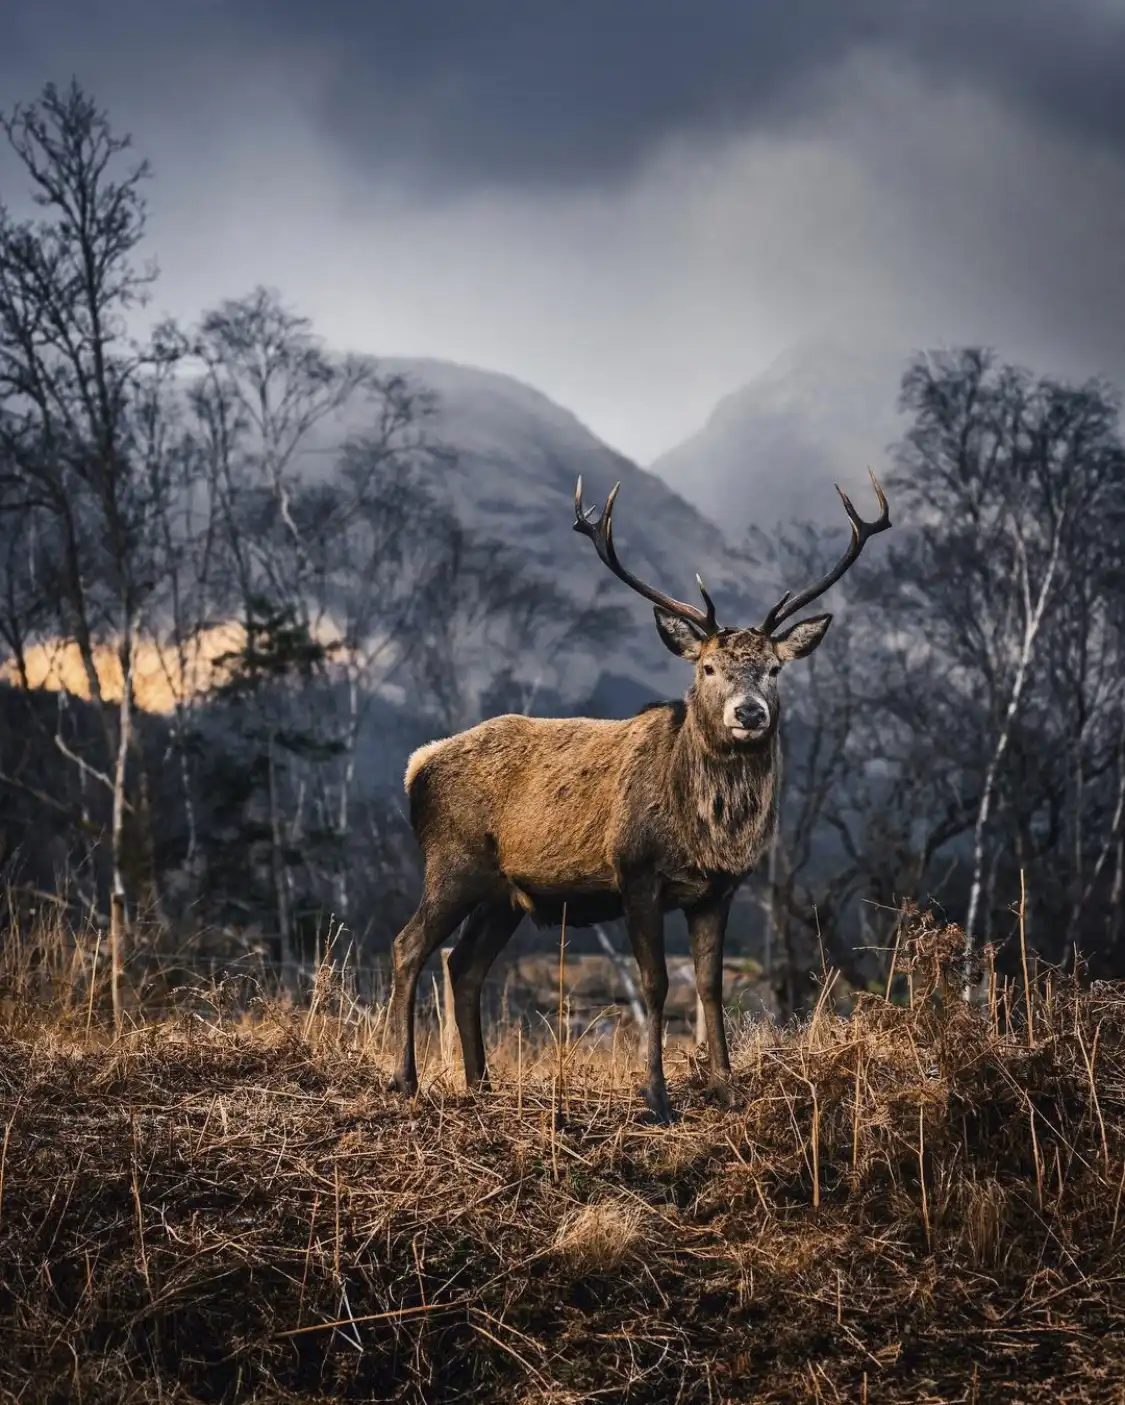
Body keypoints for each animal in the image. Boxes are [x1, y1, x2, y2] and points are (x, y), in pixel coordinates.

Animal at [386, 471, 890, 1121]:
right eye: (707, 667)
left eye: (775, 669)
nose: (749, 712)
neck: (707, 834)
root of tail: (416, 767)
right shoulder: (636, 873)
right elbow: (655, 984)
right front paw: (657, 1097)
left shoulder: (719, 890)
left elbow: (710, 986)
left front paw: (725, 1089)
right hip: (454, 863)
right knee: (409, 946)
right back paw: (405, 1079)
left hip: (503, 893)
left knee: (463, 964)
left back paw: (480, 1085)